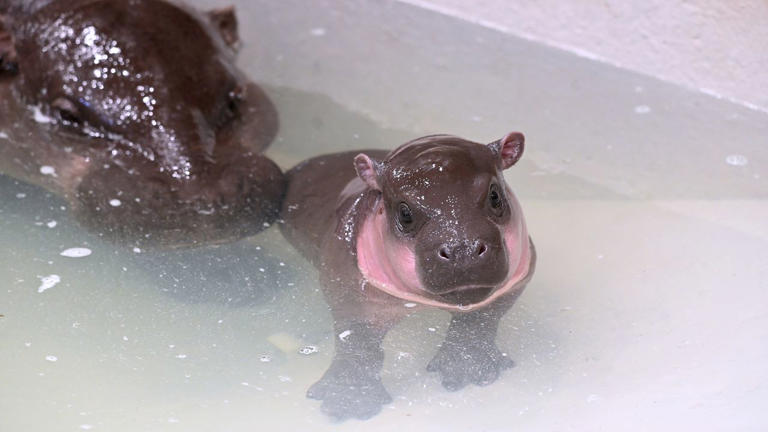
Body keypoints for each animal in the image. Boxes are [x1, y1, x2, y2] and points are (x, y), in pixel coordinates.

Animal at [281, 132, 536, 420]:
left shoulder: (517, 278)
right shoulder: (348, 290)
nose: (463, 249)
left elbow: (480, 321)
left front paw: (468, 368)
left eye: (494, 195)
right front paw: (348, 401)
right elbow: (358, 341)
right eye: (405, 213)